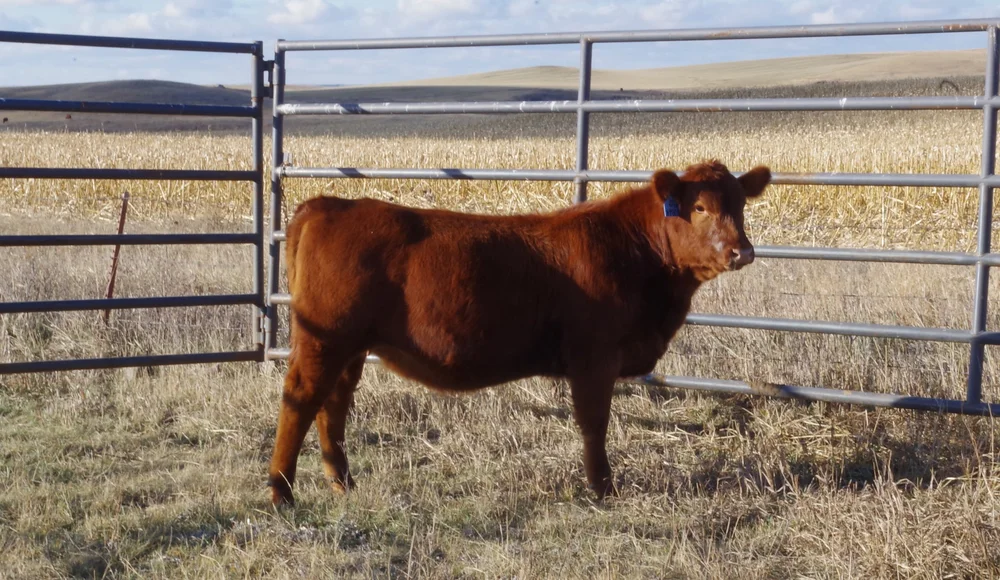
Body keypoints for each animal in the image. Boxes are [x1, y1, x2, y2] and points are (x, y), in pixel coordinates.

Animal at [268, 159, 771, 505]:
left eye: (741, 205)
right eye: (699, 207)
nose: (742, 252)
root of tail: (330, 204)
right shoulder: (594, 358)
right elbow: (595, 423)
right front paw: (602, 487)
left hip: (350, 347)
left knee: (333, 405)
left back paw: (342, 483)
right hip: (325, 339)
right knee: (299, 400)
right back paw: (281, 493)